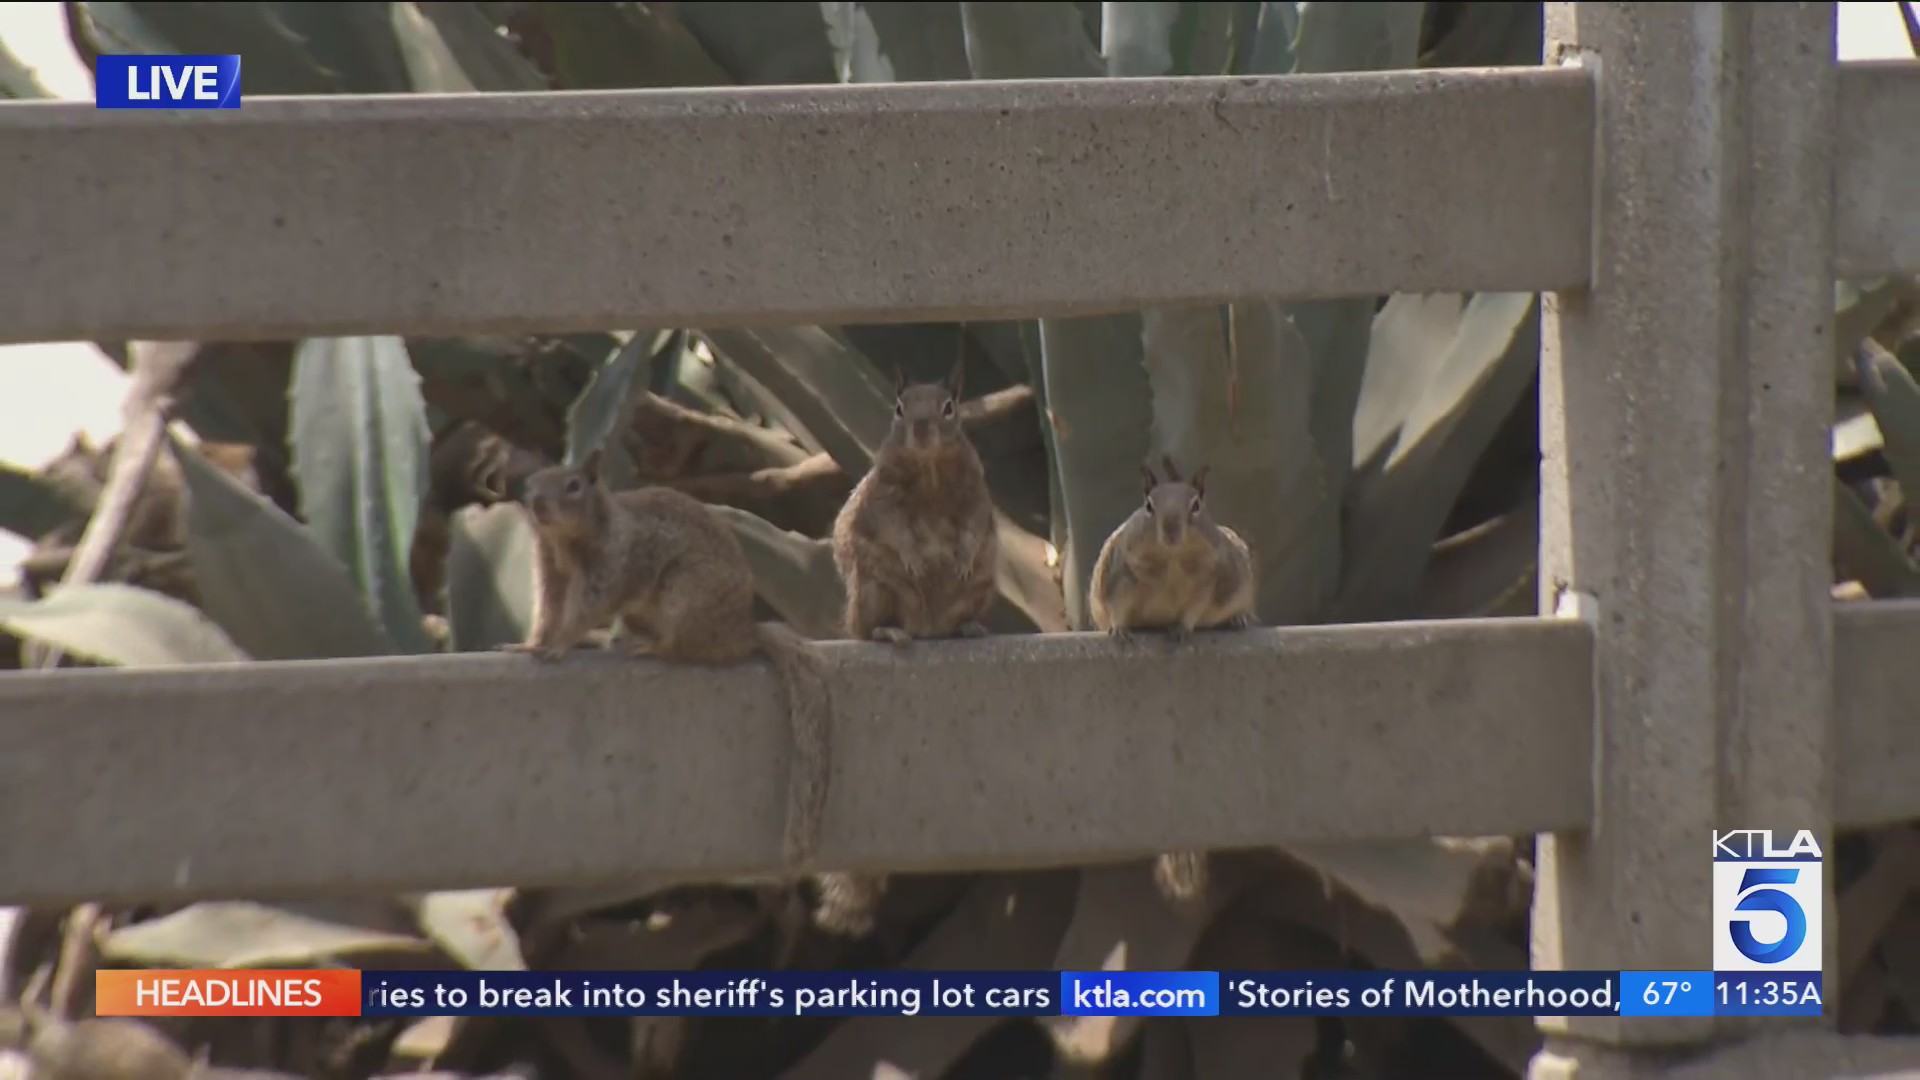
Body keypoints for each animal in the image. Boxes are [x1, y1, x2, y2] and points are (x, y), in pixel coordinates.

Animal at [501, 448, 835, 889]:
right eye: (531, 484)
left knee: (683, 649)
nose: (537, 504)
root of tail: (743, 632)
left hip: (684, 596)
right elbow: (546, 612)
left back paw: (650, 648)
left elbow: (584, 612)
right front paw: (529, 644)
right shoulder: (549, 573)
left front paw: (559, 646)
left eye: (574, 485)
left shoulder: (610, 571)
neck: (567, 542)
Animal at [810, 359, 1001, 937]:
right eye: (898, 407)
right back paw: (890, 634)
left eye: (949, 407)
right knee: (871, 626)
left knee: (964, 609)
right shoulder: (883, 501)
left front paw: (958, 554)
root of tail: (928, 626)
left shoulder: (977, 493)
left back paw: (969, 630)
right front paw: (919, 558)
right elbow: (897, 530)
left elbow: (973, 524)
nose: (919, 429)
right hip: (874, 590)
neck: (931, 468)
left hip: (981, 589)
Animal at [1088, 456, 1259, 907]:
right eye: (1148, 504)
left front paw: (1181, 632)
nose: (1171, 529)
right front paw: (1119, 632)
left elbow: (1194, 613)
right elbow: (1119, 609)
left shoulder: (1207, 585)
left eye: (1196, 504)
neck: (1171, 562)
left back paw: (1240, 618)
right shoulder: (1121, 580)